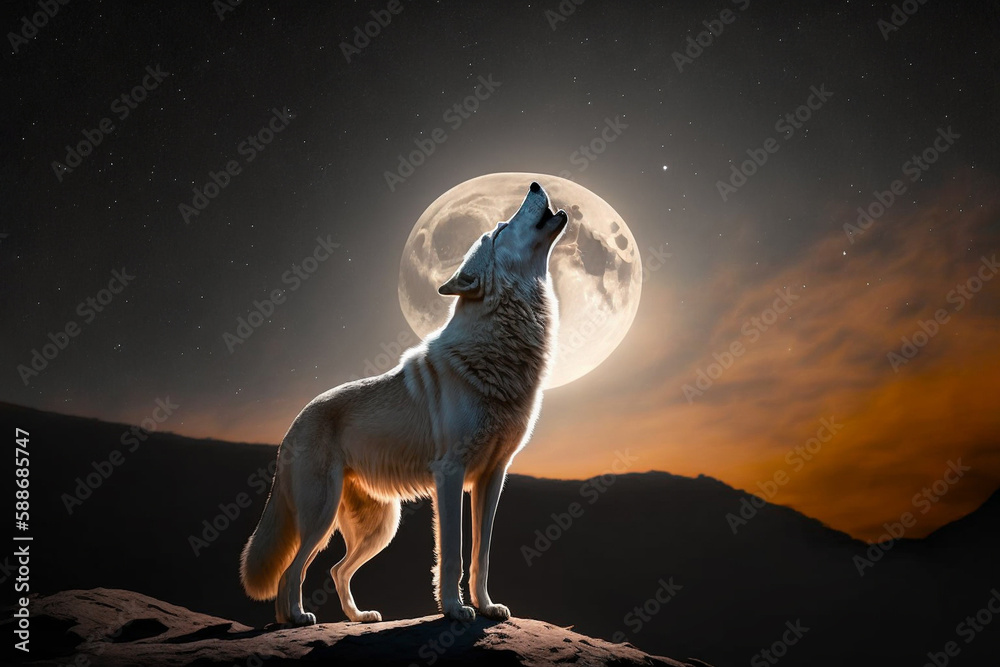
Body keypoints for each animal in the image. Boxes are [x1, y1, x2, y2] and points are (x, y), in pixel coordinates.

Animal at [240, 181, 568, 625]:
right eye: (501, 229)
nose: (533, 184)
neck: (499, 350)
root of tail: (294, 422)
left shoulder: (493, 476)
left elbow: (481, 555)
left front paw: (486, 607)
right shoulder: (450, 474)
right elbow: (452, 553)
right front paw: (455, 610)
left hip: (380, 528)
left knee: (335, 569)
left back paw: (358, 617)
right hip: (323, 517)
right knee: (292, 571)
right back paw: (295, 618)